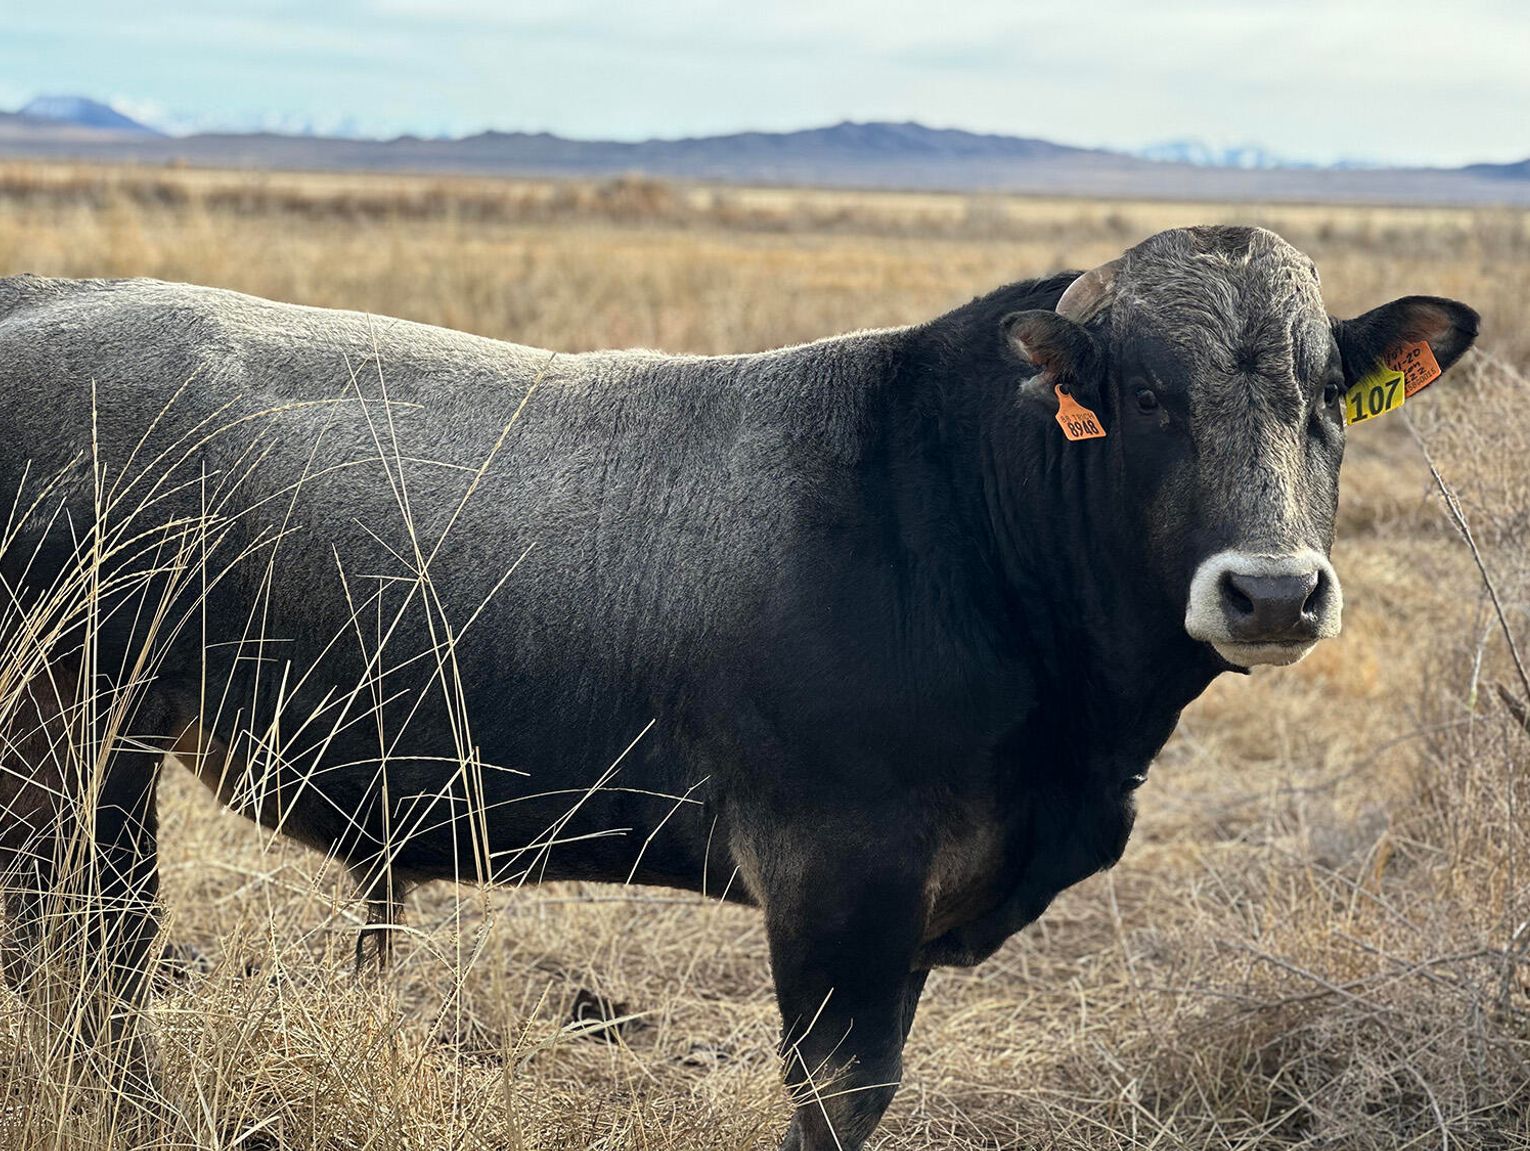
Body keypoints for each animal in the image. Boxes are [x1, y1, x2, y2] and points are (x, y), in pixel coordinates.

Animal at [0, 225, 1478, 1149]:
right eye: (1145, 398)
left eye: (1325, 398)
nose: (1271, 592)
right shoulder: (839, 881)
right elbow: (838, 1096)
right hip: (56, 742)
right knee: (74, 951)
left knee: (98, 954)